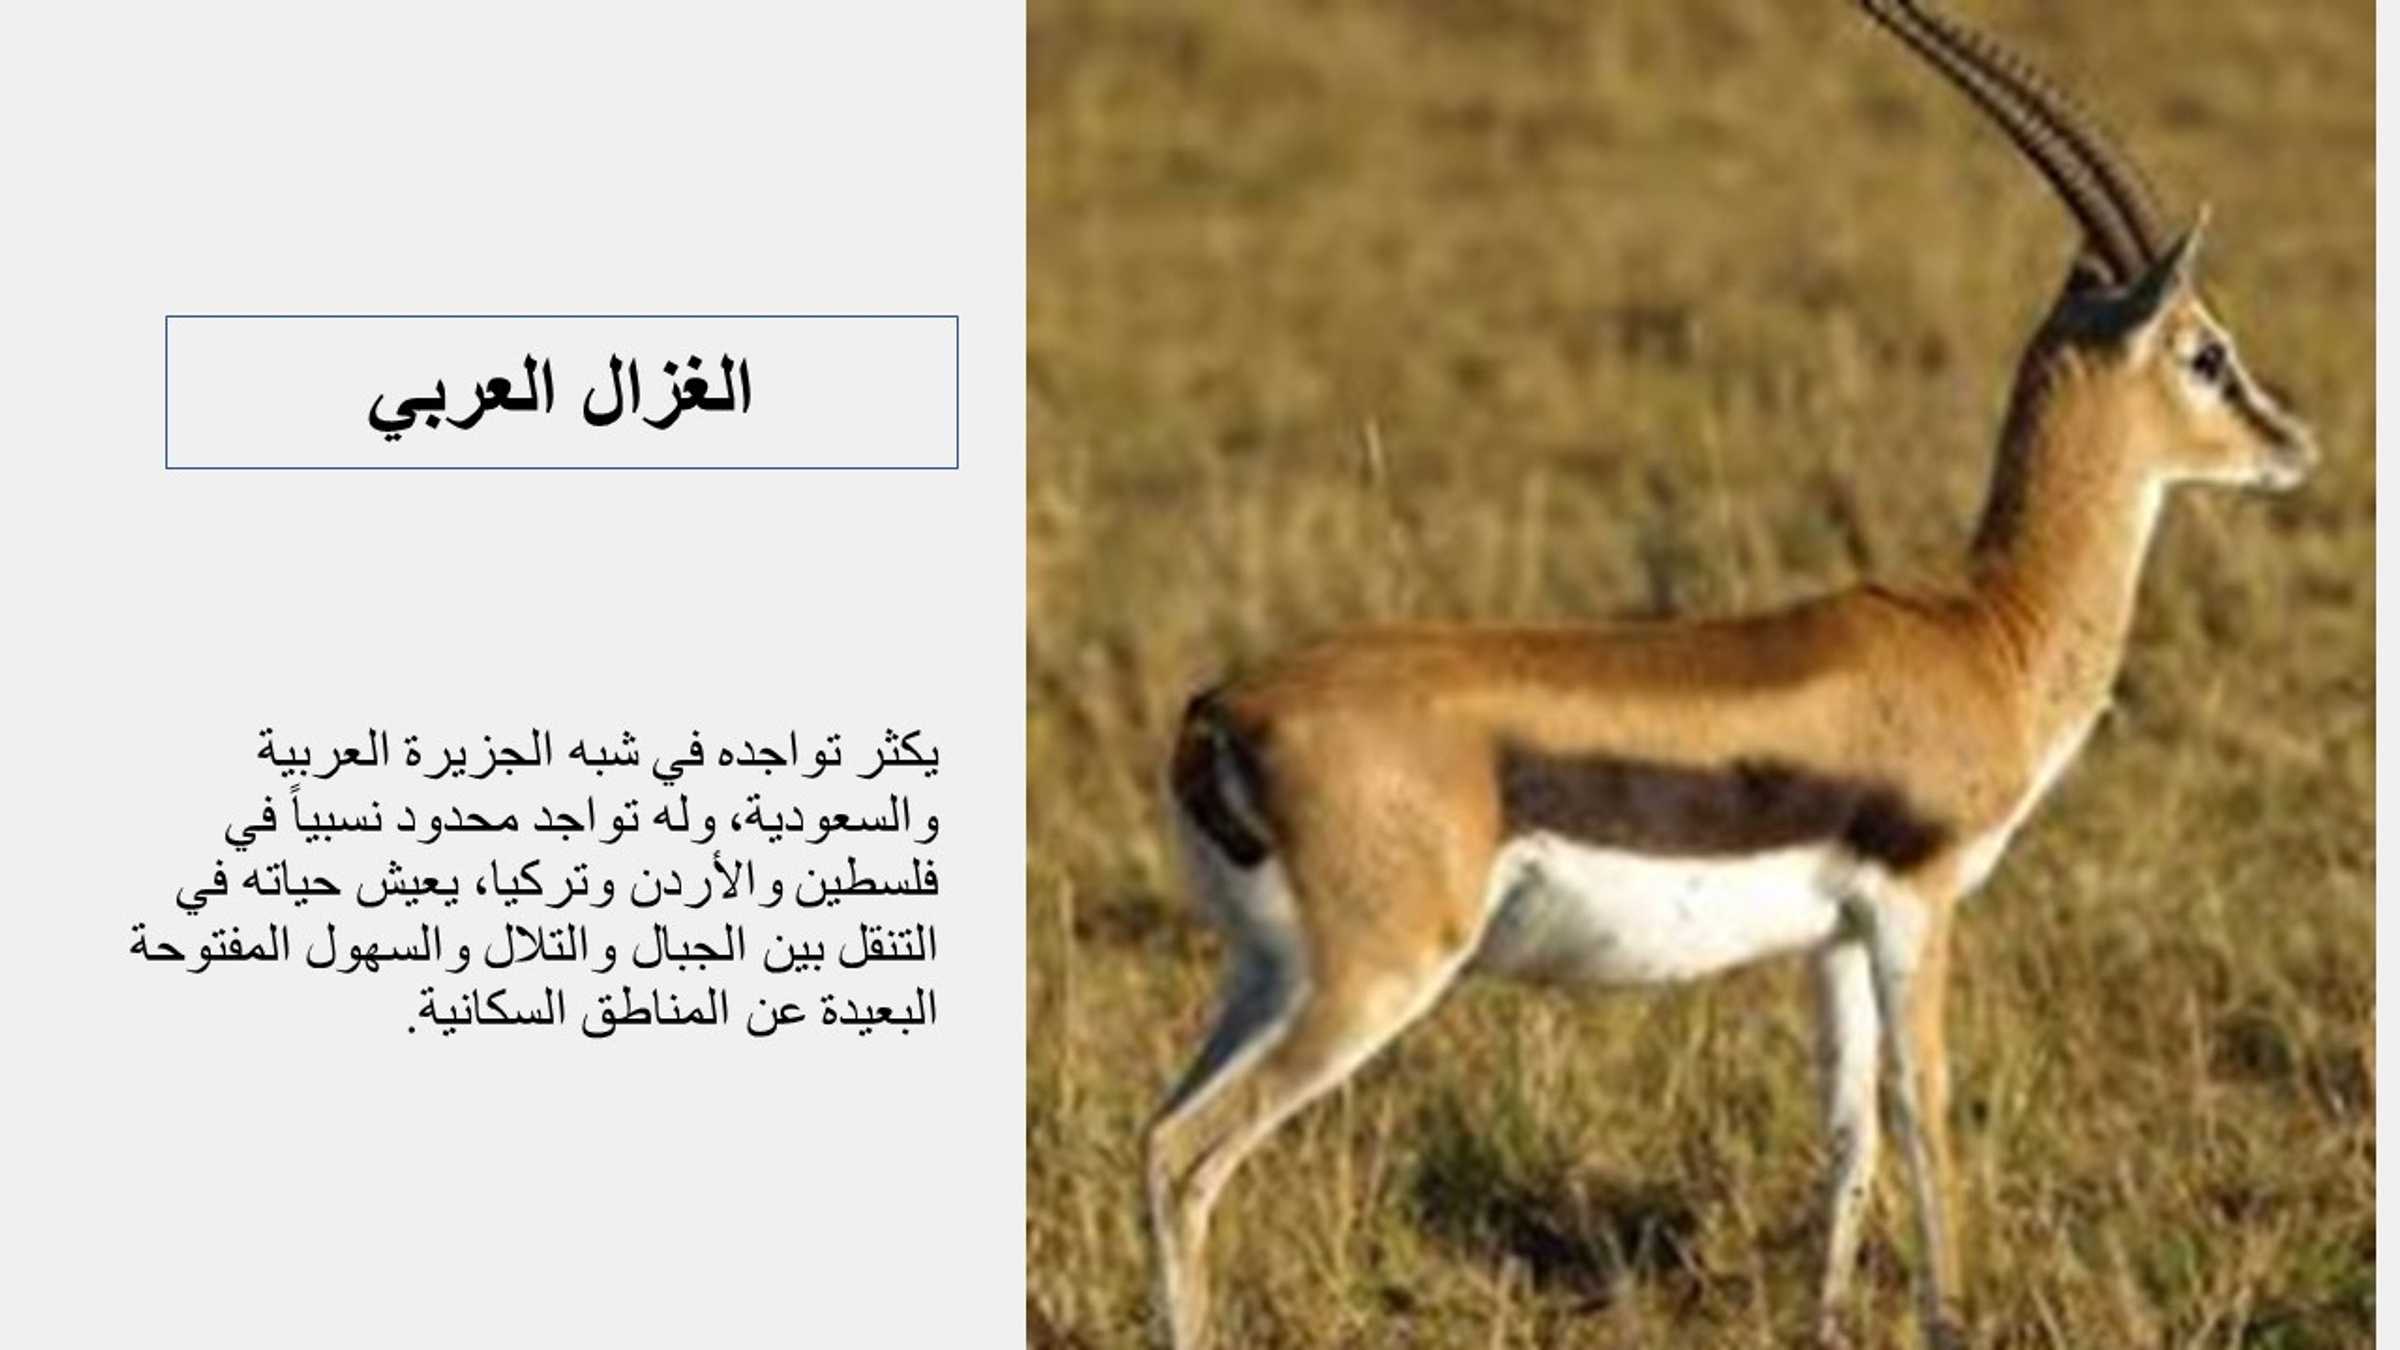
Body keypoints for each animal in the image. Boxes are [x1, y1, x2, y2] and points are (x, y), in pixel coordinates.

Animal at [1141, 1, 2318, 1346]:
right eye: (2206, 353)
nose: (2296, 447)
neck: (1980, 633)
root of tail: (1217, 714)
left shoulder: (1834, 933)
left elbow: (1850, 1130)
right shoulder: (1918, 905)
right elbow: (1923, 1110)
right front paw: (1950, 1317)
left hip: (1262, 975)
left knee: (1152, 1136)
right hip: (1369, 979)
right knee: (1188, 1155)